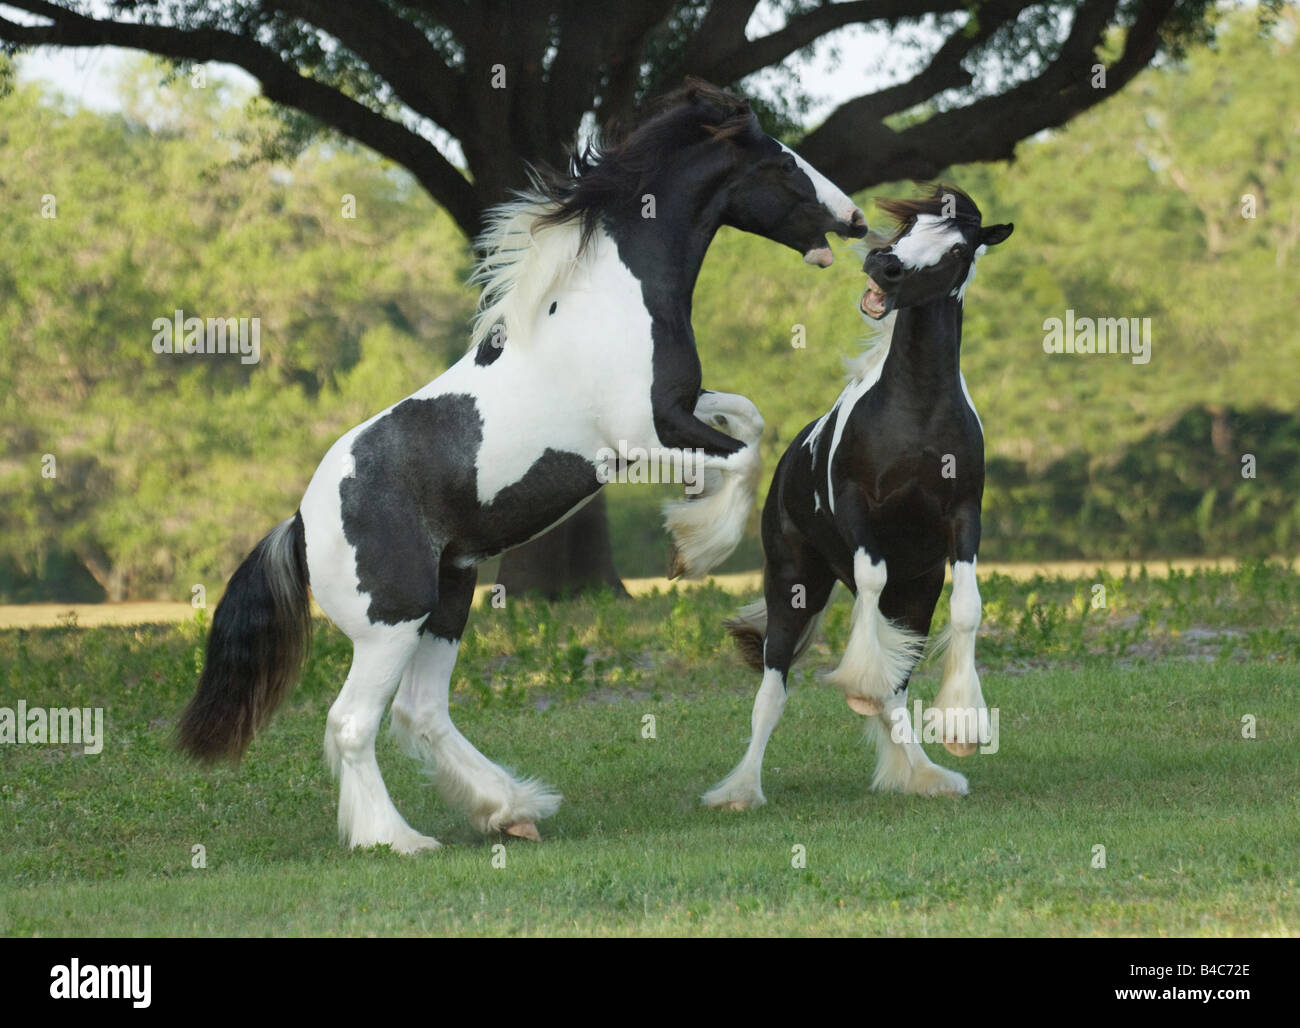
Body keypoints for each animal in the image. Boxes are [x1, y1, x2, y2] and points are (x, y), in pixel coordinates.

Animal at [176, 81, 867, 853]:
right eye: (780, 163)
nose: (857, 220)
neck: (610, 301)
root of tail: (300, 523)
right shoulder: (636, 440)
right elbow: (744, 456)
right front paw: (696, 544)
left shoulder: (680, 408)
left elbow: (746, 420)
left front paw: (693, 526)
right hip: (392, 621)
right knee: (353, 724)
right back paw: (399, 839)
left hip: (449, 599)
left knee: (421, 712)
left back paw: (511, 808)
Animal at [703, 185, 1013, 811]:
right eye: (908, 227)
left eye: (958, 247)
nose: (883, 266)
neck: (917, 412)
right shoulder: (856, 509)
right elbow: (870, 580)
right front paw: (858, 684)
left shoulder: (964, 519)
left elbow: (968, 609)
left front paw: (963, 727)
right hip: (793, 583)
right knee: (772, 689)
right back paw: (741, 790)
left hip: (916, 592)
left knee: (896, 686)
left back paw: (922, 774)